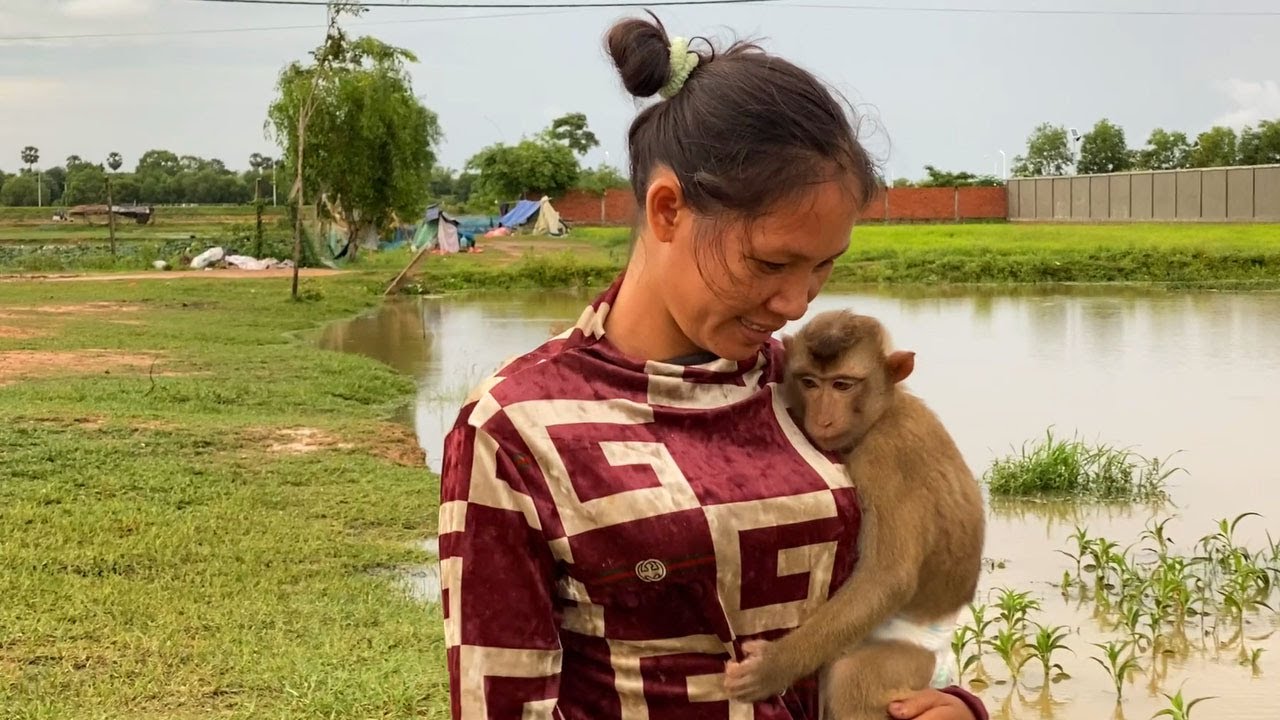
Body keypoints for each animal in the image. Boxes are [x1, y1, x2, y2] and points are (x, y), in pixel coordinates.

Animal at [723, 309, 986, 720]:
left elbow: (887, 577)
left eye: (843, 385)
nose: (823, 419)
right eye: (810, 382)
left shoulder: (884, 457)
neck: (884, 412)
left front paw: (772, 667)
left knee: (850, 678)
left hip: (915, 667)